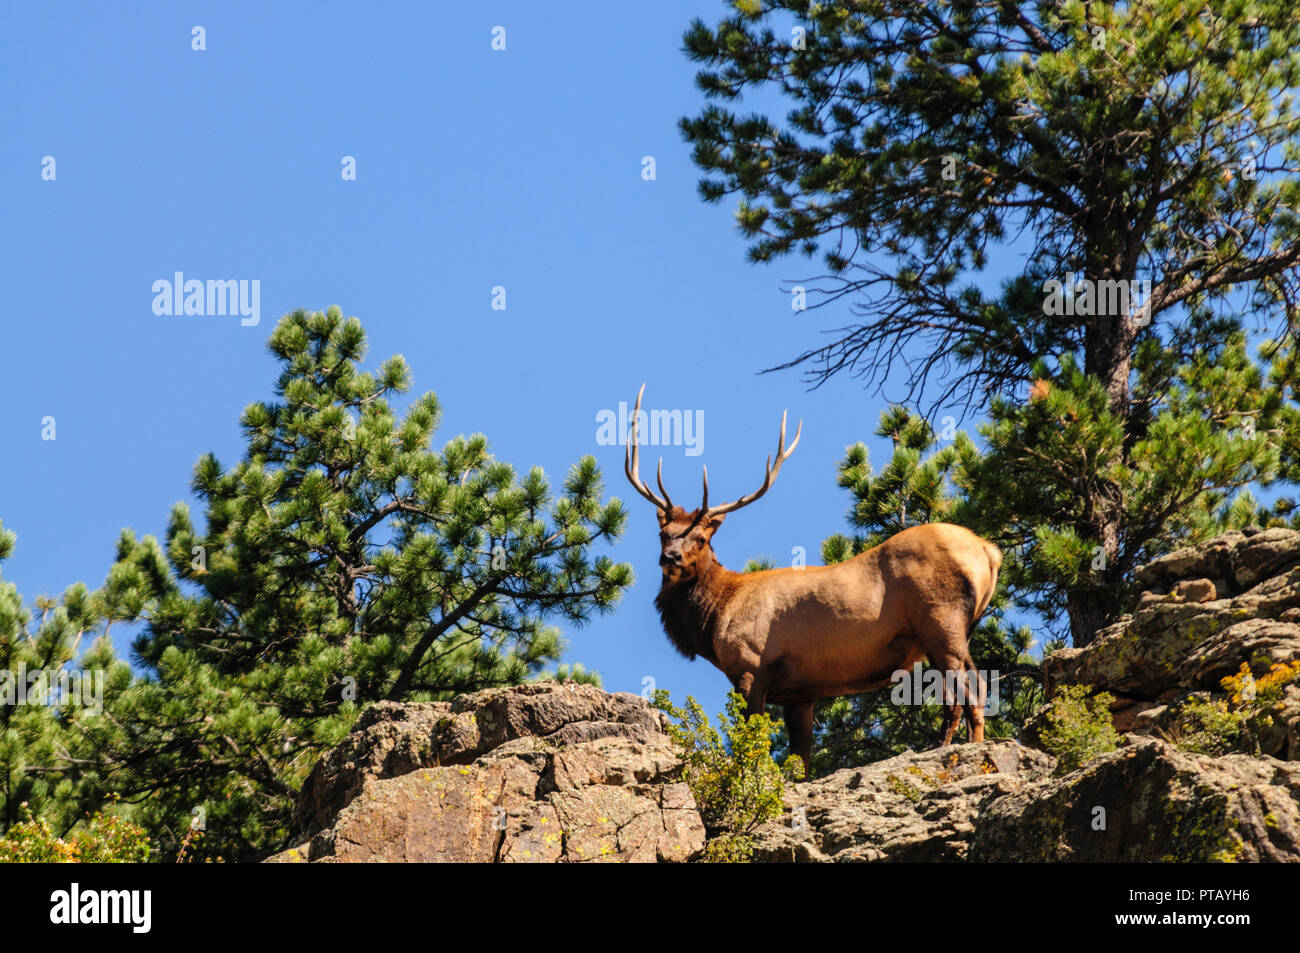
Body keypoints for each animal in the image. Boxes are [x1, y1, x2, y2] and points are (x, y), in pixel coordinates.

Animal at [624, 384, 1002, 775]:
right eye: (664, 533)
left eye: (701, 539)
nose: (670, 557)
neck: (714, 616)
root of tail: (989, 552)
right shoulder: (800, 693)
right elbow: (800, 763)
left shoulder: (750, 668)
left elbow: (753, 749)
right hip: (948, 631)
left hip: (941, 620)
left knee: (968, 690)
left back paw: (955, 751)